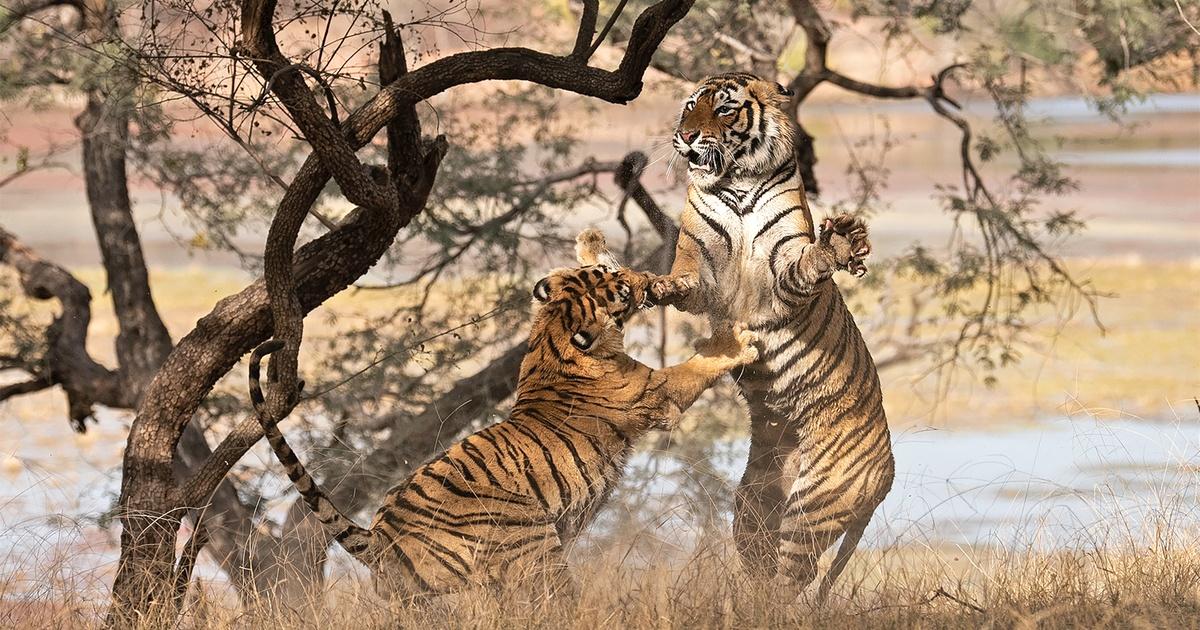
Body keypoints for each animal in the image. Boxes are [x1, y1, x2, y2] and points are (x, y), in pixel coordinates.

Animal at [248, 229, 761, 600]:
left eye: (609, 270)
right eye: (619, 291)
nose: (647, 282)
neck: (554, 330)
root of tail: (379, 536)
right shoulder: (655, 392)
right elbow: (697, 365)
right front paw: (738, 339)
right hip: (535, 546)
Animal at [648, 72, 895, 600]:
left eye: (723, 110)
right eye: (690, 106)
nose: (686, 136)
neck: (736, 183)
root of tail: (888, 478)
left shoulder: (782, 270)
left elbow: (805, 265)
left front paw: (837, 244)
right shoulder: (700, 270)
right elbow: (681, 283)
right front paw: (654, 286)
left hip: (814, 505)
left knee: (789, 584)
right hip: (753, 506)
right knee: (764, 572)